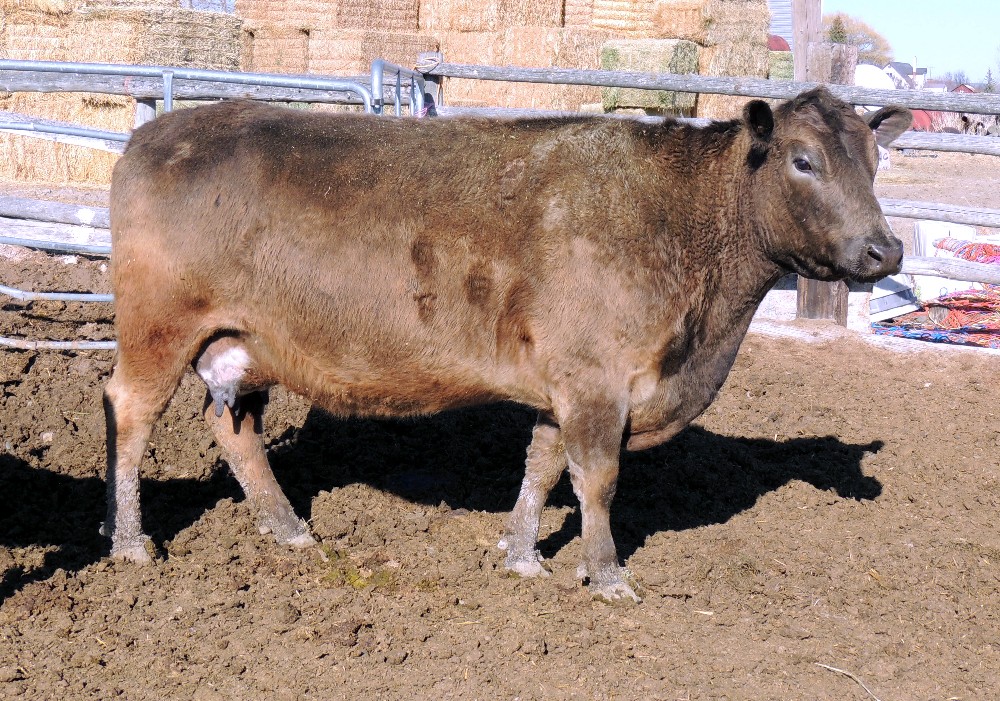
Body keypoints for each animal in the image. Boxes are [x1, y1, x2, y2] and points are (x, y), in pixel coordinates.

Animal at [103, 87, 911, 602]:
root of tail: (155, 134)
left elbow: (544, 466)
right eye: (803, 161)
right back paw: (129, 542)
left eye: (876, 160)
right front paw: (607, 576)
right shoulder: (596, 381)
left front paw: (522, 556)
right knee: (130, 413)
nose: (885, 249)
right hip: (159, 327)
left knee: (233, 427)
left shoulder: (567, 386)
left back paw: (288, 529)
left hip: (244, 342)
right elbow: (597, 479)